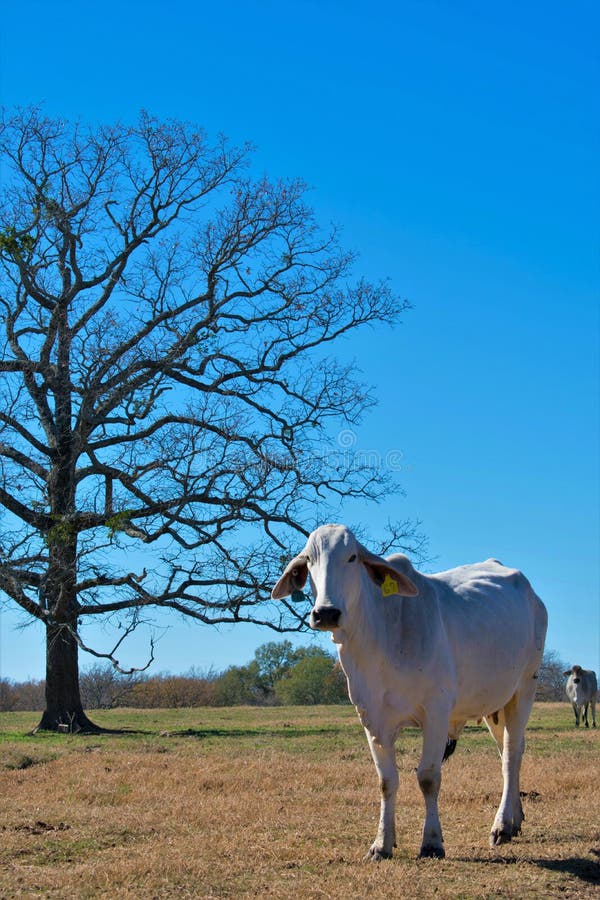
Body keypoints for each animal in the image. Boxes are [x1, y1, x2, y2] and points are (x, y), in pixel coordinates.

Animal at [272, 524, 548, 860]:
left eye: (352, 557)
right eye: (309, 560)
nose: (326, 613)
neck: (381, 637)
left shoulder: (436, 713)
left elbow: (428, 778)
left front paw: (431, 842)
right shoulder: (371, 718)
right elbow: (386, 781)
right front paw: (382, 843)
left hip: (523, 689)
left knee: (510, 754)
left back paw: (502, 826)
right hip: (494, 704)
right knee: (509, 752)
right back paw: (515, 819)